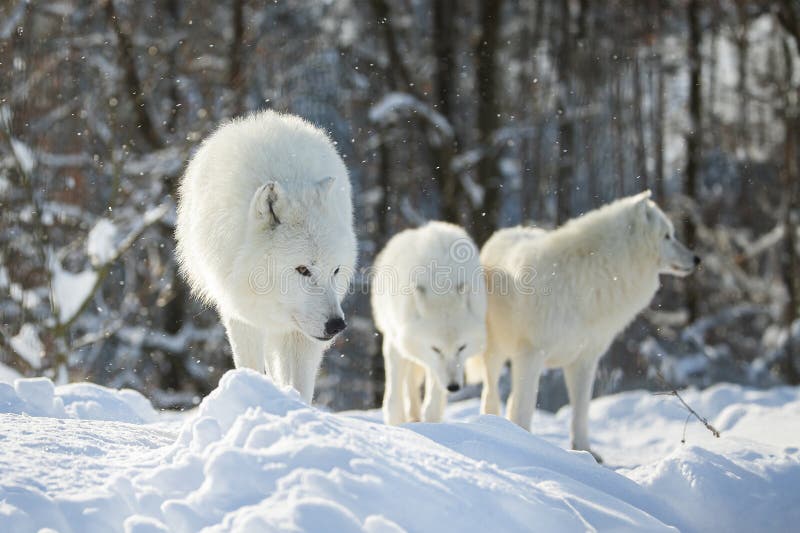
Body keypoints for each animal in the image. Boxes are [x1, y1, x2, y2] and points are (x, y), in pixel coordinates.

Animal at [175, 110, 357, 403]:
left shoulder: (301, 333)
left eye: (335, 271)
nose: (336, 326)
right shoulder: (241, 314)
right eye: (303, 269)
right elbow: (249, 366)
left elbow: (301, 386)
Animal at [371, 222, 487, 425]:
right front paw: (397, 423)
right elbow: (394, 395)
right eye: (436, 349)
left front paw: (431, 423)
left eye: (461, 348)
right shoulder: (396, 341)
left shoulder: (439, 367)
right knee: (409, 381)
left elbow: (434, 400)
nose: (454, 387)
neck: (441, 282)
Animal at [477, 191, 698, 460]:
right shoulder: (531, 354)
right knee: (492, 394)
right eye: (667, 236)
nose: (697, 259)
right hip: (495, 352)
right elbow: (524, 407)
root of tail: (502, 234)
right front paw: (523, 442)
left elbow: (581, 410)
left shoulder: (585, 359)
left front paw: (584, 450)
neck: (597, 273)